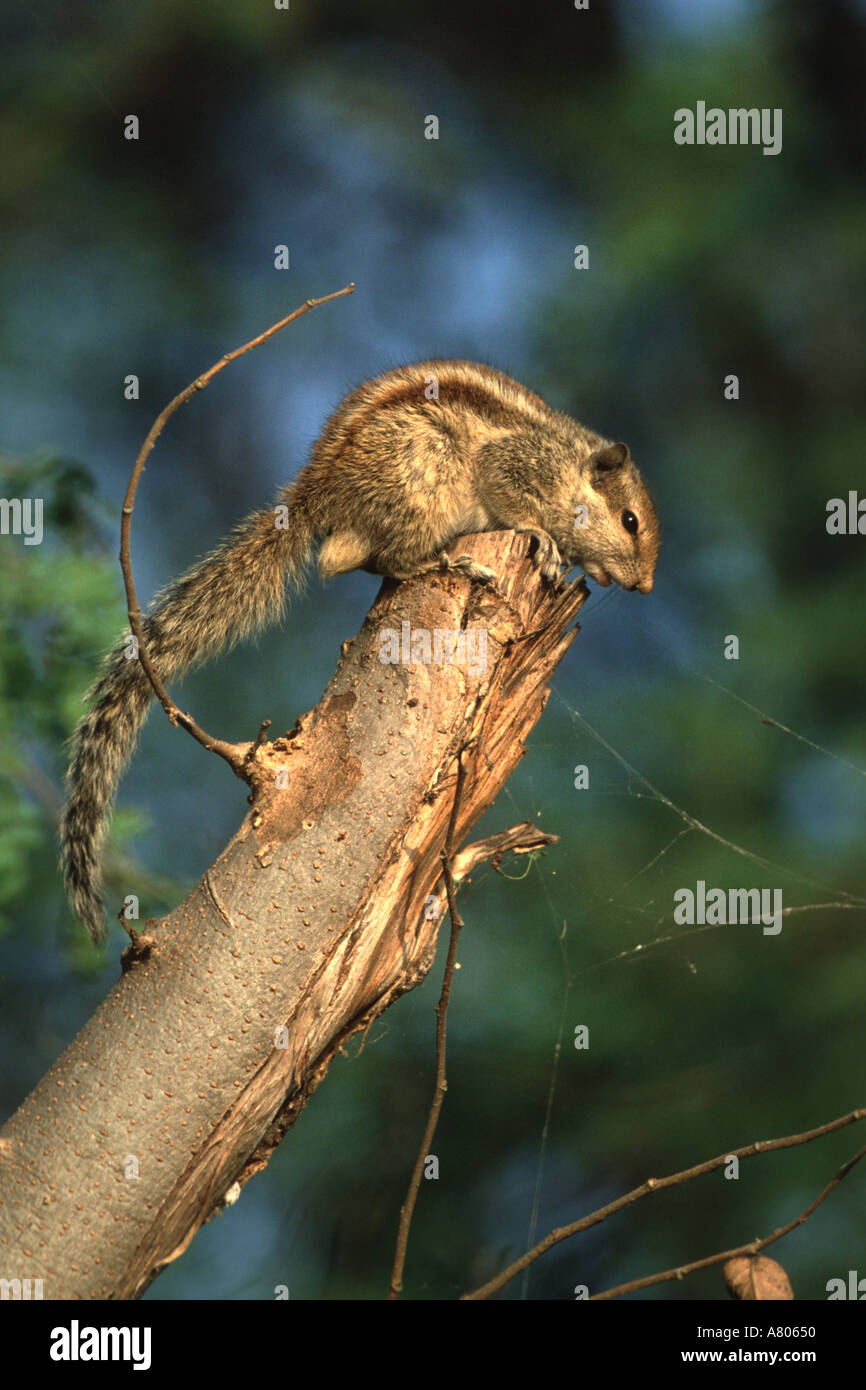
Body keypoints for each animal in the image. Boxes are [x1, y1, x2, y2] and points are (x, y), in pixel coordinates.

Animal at [60, 359, 660, 943]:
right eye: (630, 520)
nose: (646, 587)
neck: (568, 466)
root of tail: (316, 496)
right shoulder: (513, 465)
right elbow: (514, 501)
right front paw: (542, 538)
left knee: (343, 559)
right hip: (423, 472)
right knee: (388, 557)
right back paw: (447, 561)